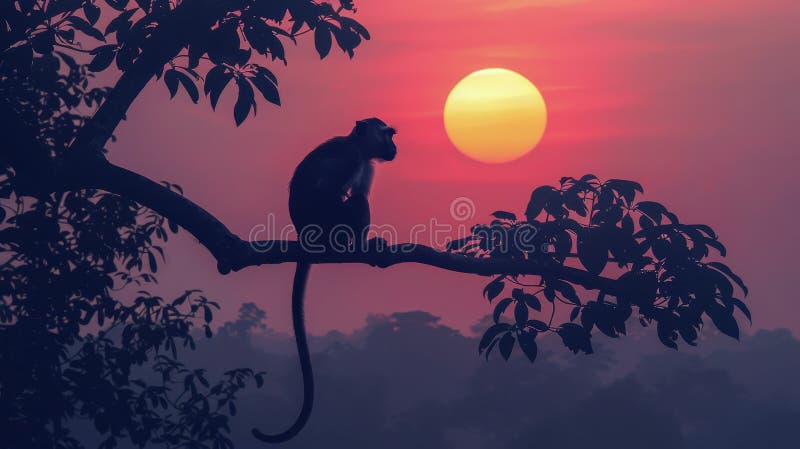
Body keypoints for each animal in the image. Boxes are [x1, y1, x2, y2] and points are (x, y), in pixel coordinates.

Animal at [252, 117, 397, 443]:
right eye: (388, 134)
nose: (395, 146)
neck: (358, 146)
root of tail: (303, 235)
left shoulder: (366, 165)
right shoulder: (351, 159)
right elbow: (329, 191)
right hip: (326, 226)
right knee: (352, 202)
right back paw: (356, 245)